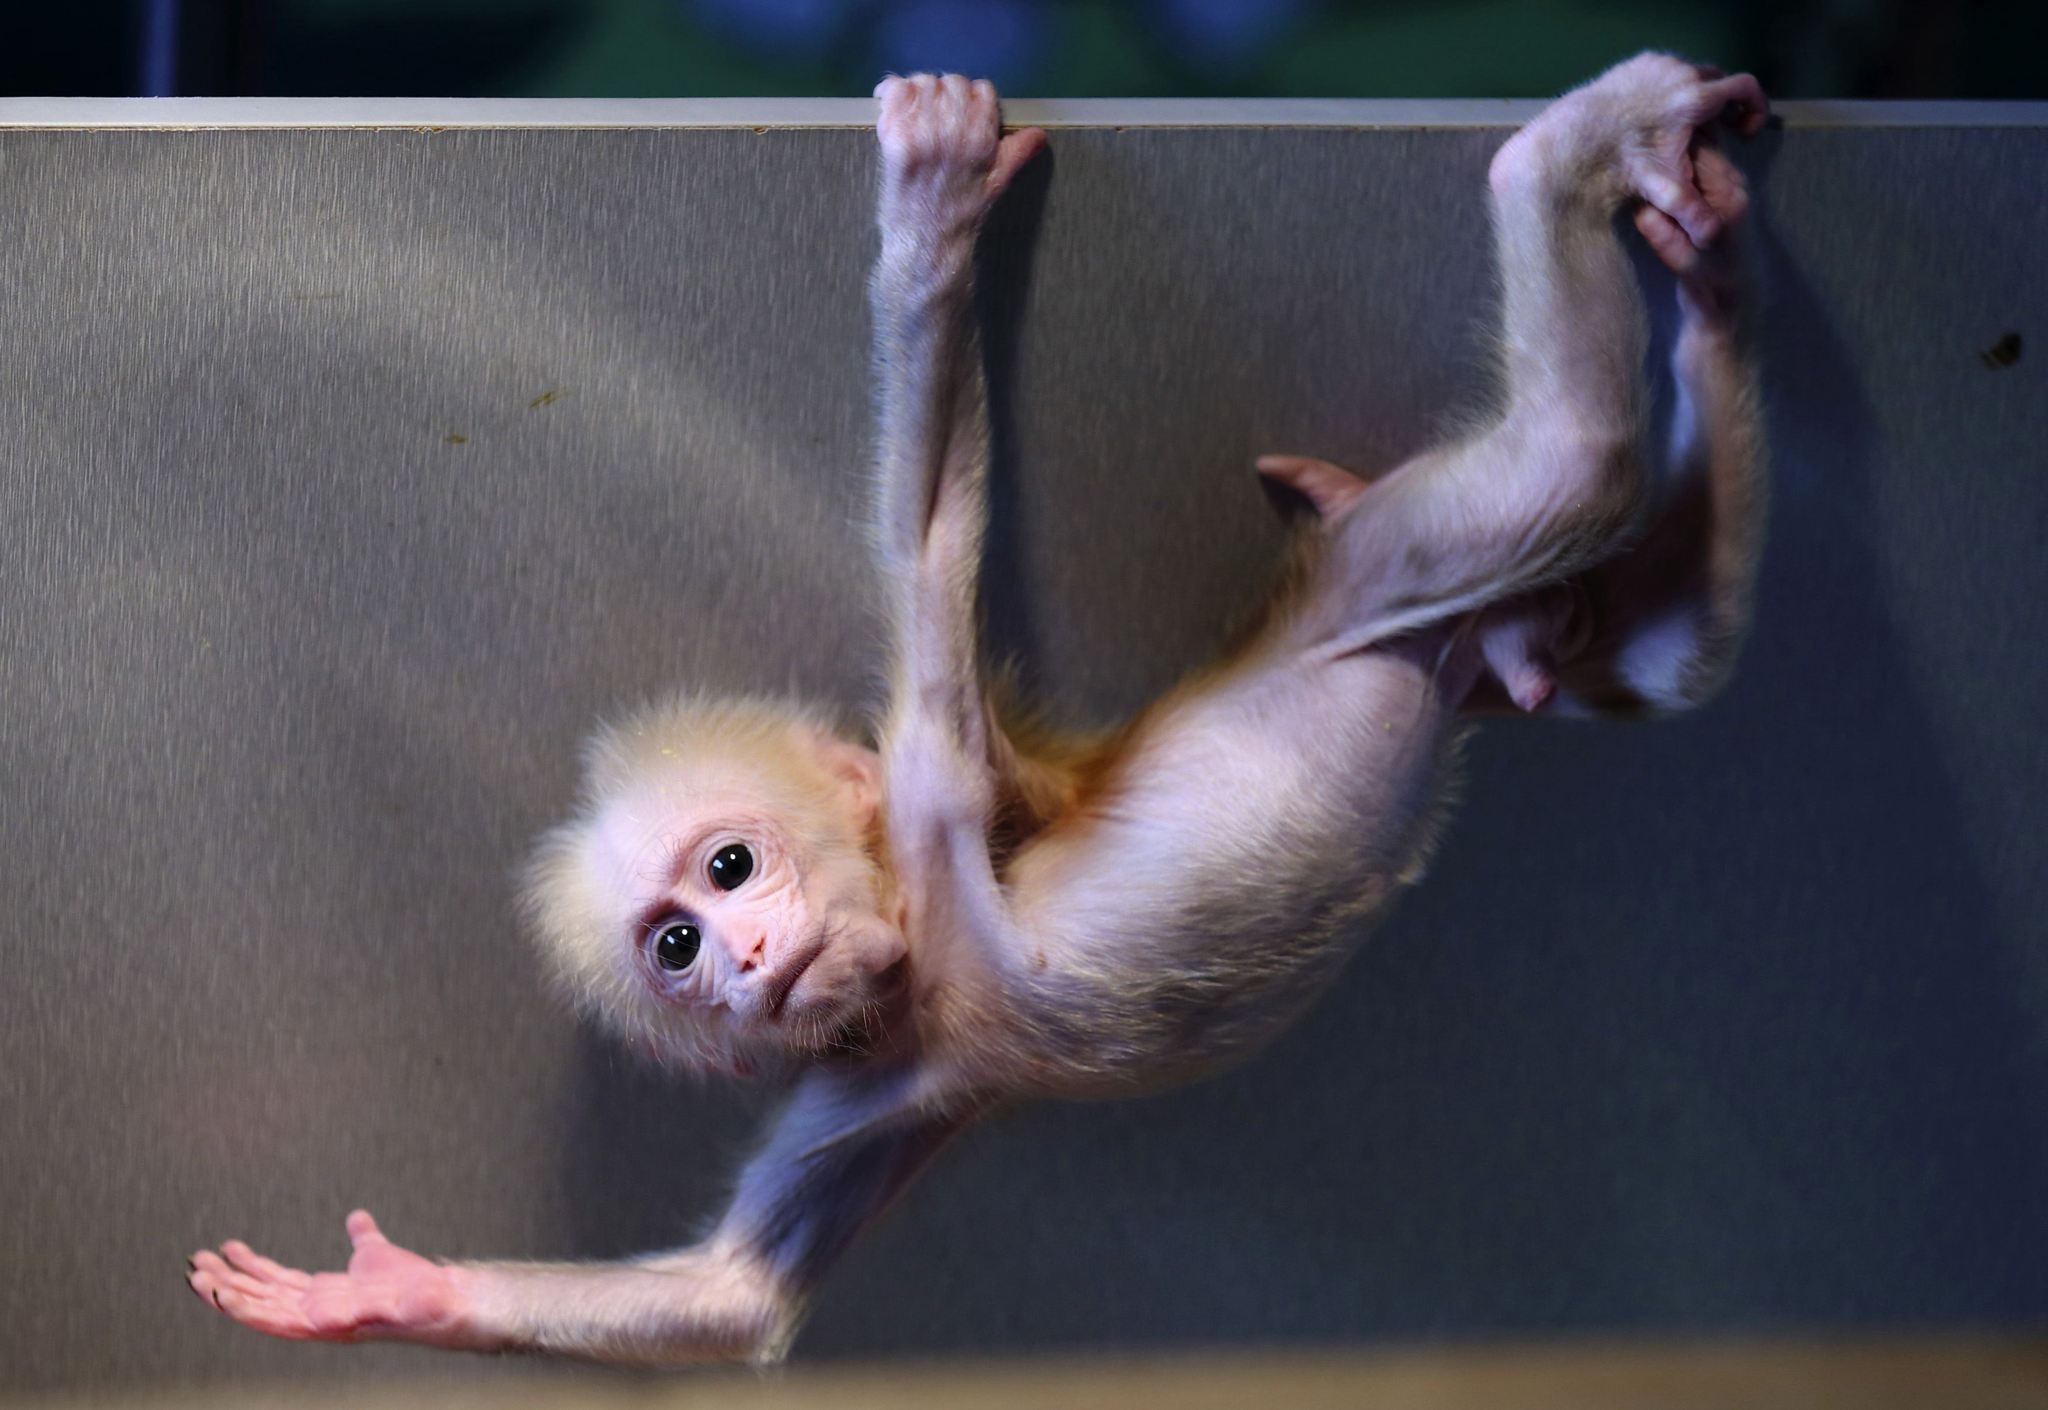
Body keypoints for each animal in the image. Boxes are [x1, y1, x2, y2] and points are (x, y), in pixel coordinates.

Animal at [187, 56, 1768, 1365]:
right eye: (677, 948)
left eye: (729, 868)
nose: (746, 957)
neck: (926, 971)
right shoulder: (868, 1078)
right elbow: (732, 1300)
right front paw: (394, 1293)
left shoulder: (934, 787)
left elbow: (927, 541)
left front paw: (930, 228)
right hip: (1417, 611)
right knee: (1653, 644)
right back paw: (1702, 293)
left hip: (1371, 580)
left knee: (1575, 459)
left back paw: (1572, 152)